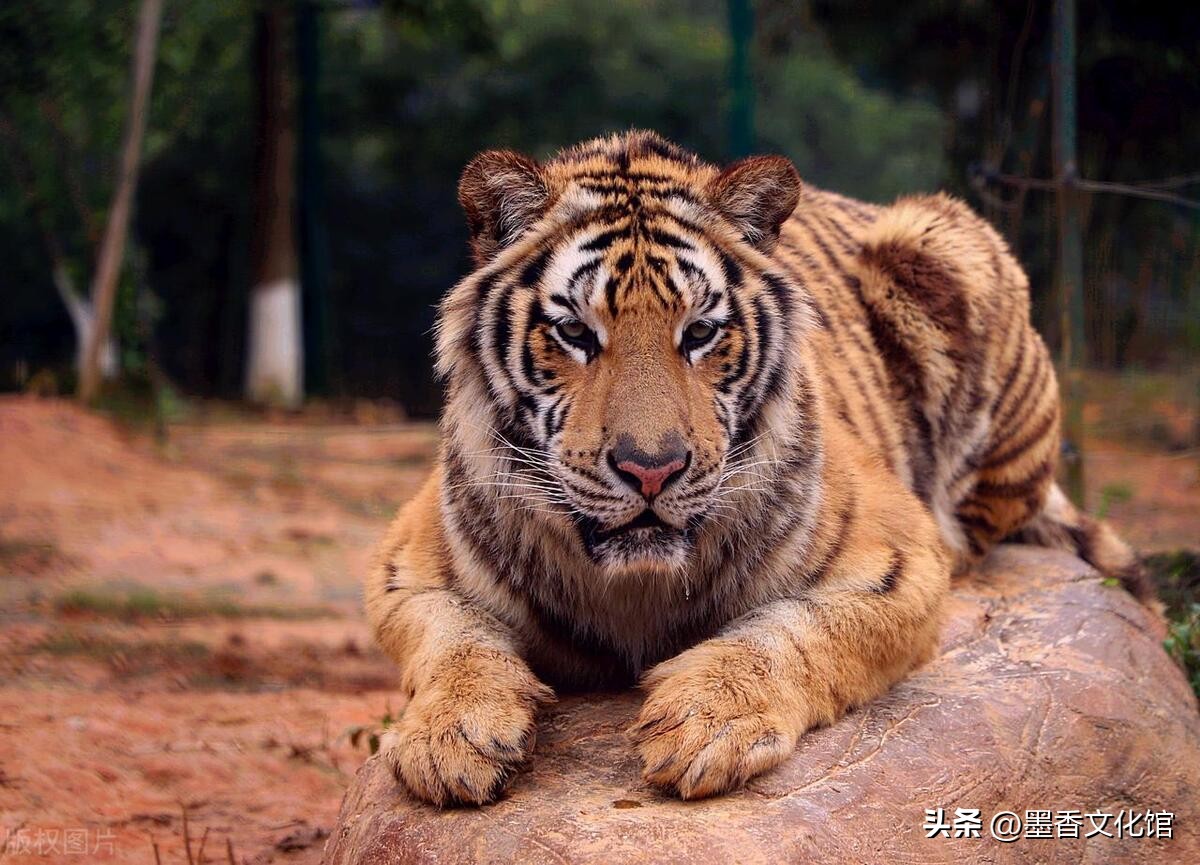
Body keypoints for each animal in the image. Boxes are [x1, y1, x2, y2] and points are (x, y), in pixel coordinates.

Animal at [365, 130, 1153, 806]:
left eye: (700, 333)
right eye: (575, 333)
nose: (651, 471)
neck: (634, 588)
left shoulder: (899, 556)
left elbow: (793, 627)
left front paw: (706, 724)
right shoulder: (405, 562)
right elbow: (454, 637)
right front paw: (449, 738)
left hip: (943, 248)